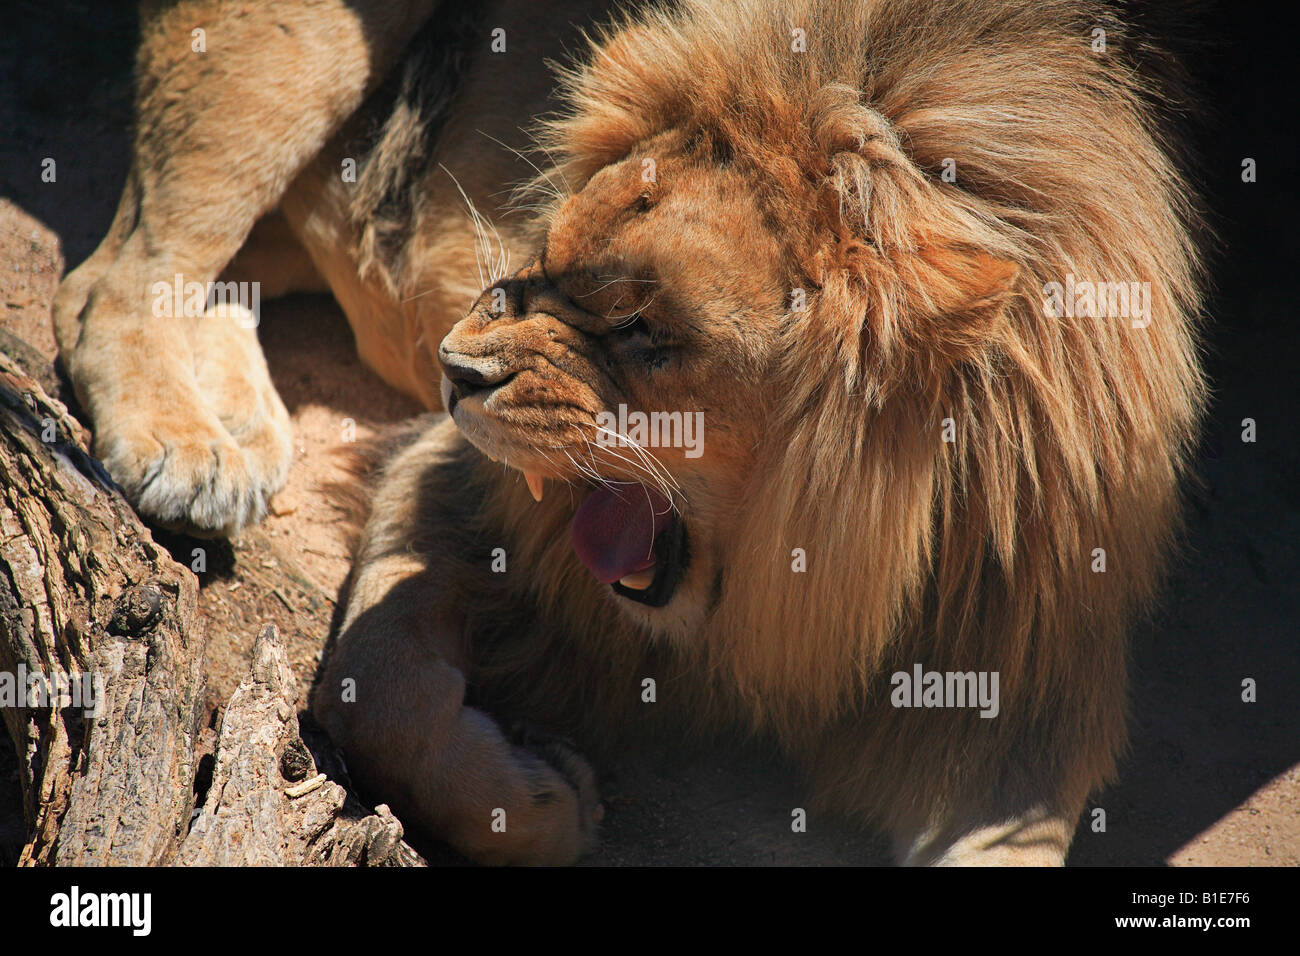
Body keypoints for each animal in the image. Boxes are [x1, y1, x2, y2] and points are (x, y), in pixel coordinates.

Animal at [54, 0, 1207, 865]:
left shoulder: (1017, 694)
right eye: (537, 266)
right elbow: (384, 688)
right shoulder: (455, 478)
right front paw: (543, 798)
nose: (455, 371)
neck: (799, 578)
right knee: (119, 271)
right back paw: (189, 453)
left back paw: (239, 431)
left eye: (644, 329)